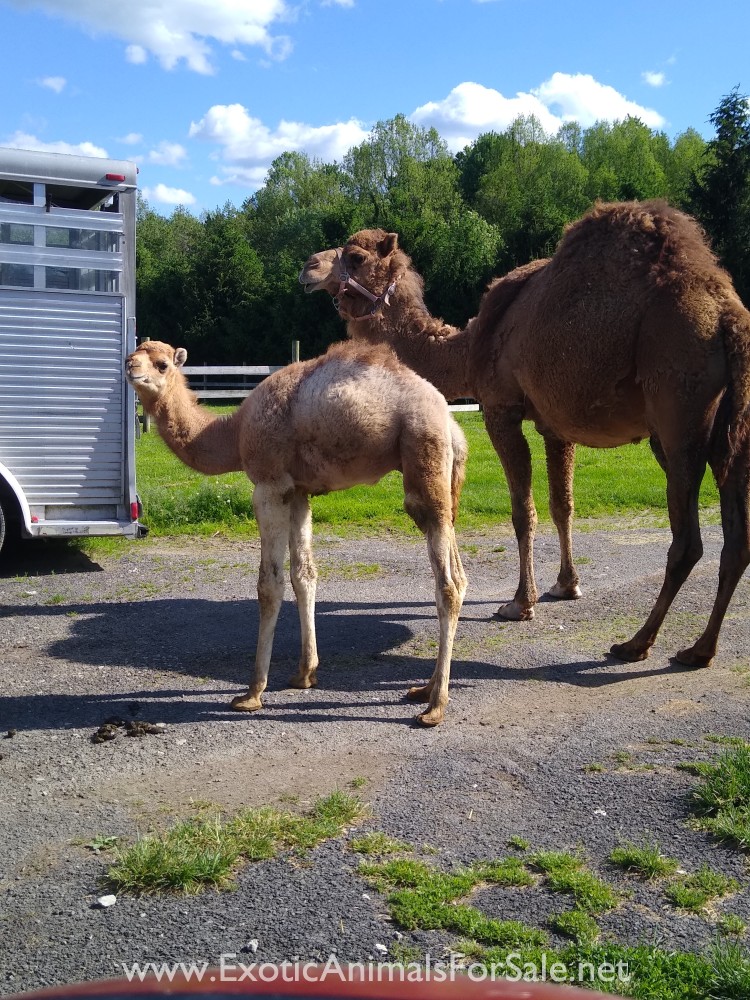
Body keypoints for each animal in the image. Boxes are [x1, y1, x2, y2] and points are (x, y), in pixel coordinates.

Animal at [125, 339, 468, 725]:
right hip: (440, 477)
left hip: (424, 455)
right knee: (459, 574)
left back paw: (435, 706)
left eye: (163, 364)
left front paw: (252, 693)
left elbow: (269, 585)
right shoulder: (299, 491)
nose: (131, 368)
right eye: (133, 355)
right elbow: (303, 575)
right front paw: (305, 673)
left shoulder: (269, 485)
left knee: (447, 583)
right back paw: (423, 689)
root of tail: (451, 423)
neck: (234, 433)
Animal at [299, 200, 750, 668]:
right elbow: (562, 506)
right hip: (726, 426)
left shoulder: (501, 408)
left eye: (355, 257)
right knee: (737, 535)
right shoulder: (555, 424)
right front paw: (566, 585)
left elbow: (522, 510)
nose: (308, 267)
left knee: (688, 541)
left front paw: (519, 603)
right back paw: (699, 649)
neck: (467, 348)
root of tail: (728, 315)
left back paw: (636, 643)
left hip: (678, 409)